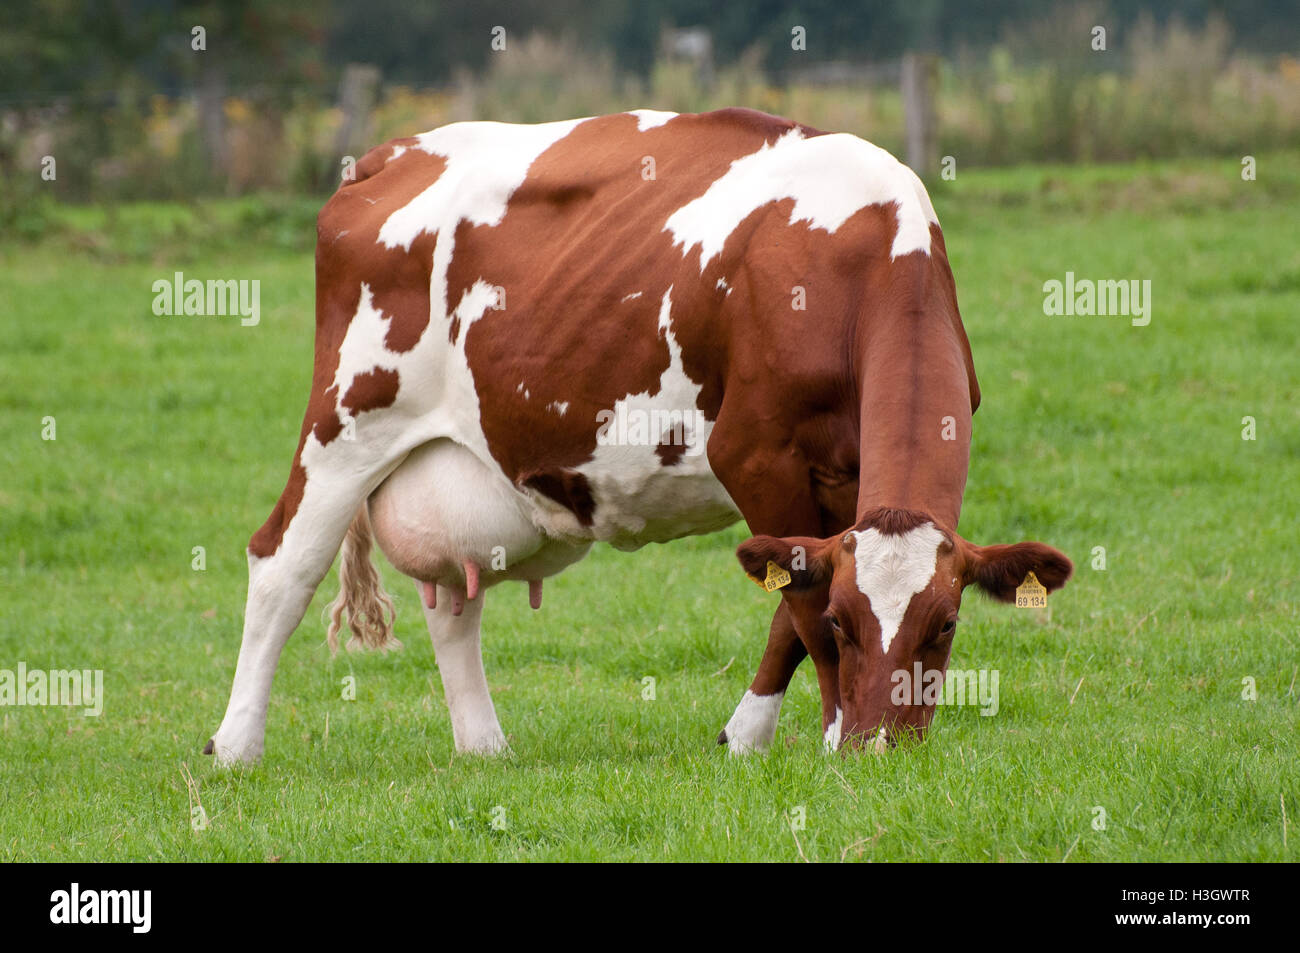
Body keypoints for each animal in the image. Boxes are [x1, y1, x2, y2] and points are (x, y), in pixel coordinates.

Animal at [205, 108, 1072, 765]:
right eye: (845, 621)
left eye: (946, 625)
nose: (879, 747)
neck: (858, 257)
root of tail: (392, 154)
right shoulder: (753, 455)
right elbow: (795, 602)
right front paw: (816, 733)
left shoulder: (841, 486)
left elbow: (785, 607)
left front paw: (748, 734)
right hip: (346, 426)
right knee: (281, 565)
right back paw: (236, 746)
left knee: (453, 601)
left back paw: (485, 747)